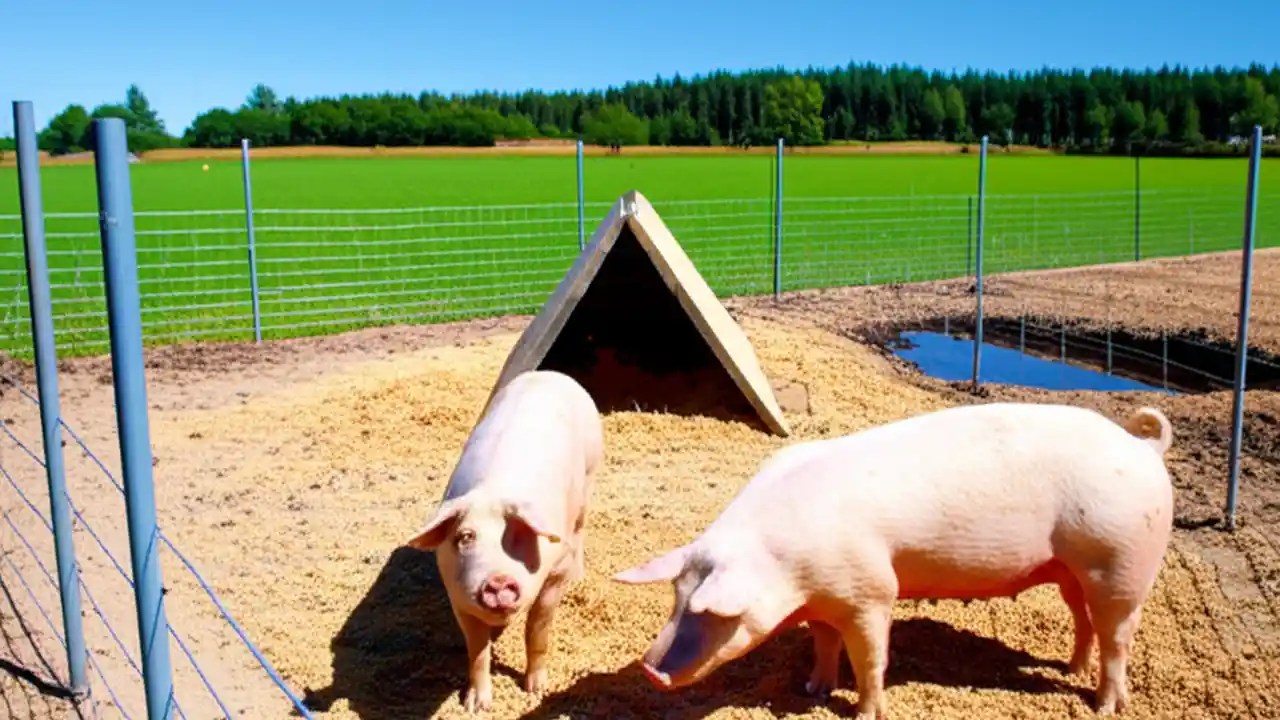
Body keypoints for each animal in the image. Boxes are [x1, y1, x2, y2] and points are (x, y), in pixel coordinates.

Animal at [405, 370, 605, 713]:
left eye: (519, 534)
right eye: (465, 537)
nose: (497, 579)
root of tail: (551, 374)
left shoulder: (554, 573)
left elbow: (537, 629)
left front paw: (535, 690)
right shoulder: (457, 596)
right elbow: (477, 650)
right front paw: (476, 706)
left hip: (590, 475)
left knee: (580, 528)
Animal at [614, 402, 1174, 719]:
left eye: (715, 614)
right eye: (677, 598)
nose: (649, 670)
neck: (789, 569)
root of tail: (1142, 445)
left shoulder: (871, 592)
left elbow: (870, 657)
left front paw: (865, 714)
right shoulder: (824, 599)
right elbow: (824, 644)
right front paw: (813, 690)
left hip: (1122, 562)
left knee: (1118, 637)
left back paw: (1104, 706)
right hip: (1072, 571)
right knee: (1084, 621)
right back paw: (1071, 668)